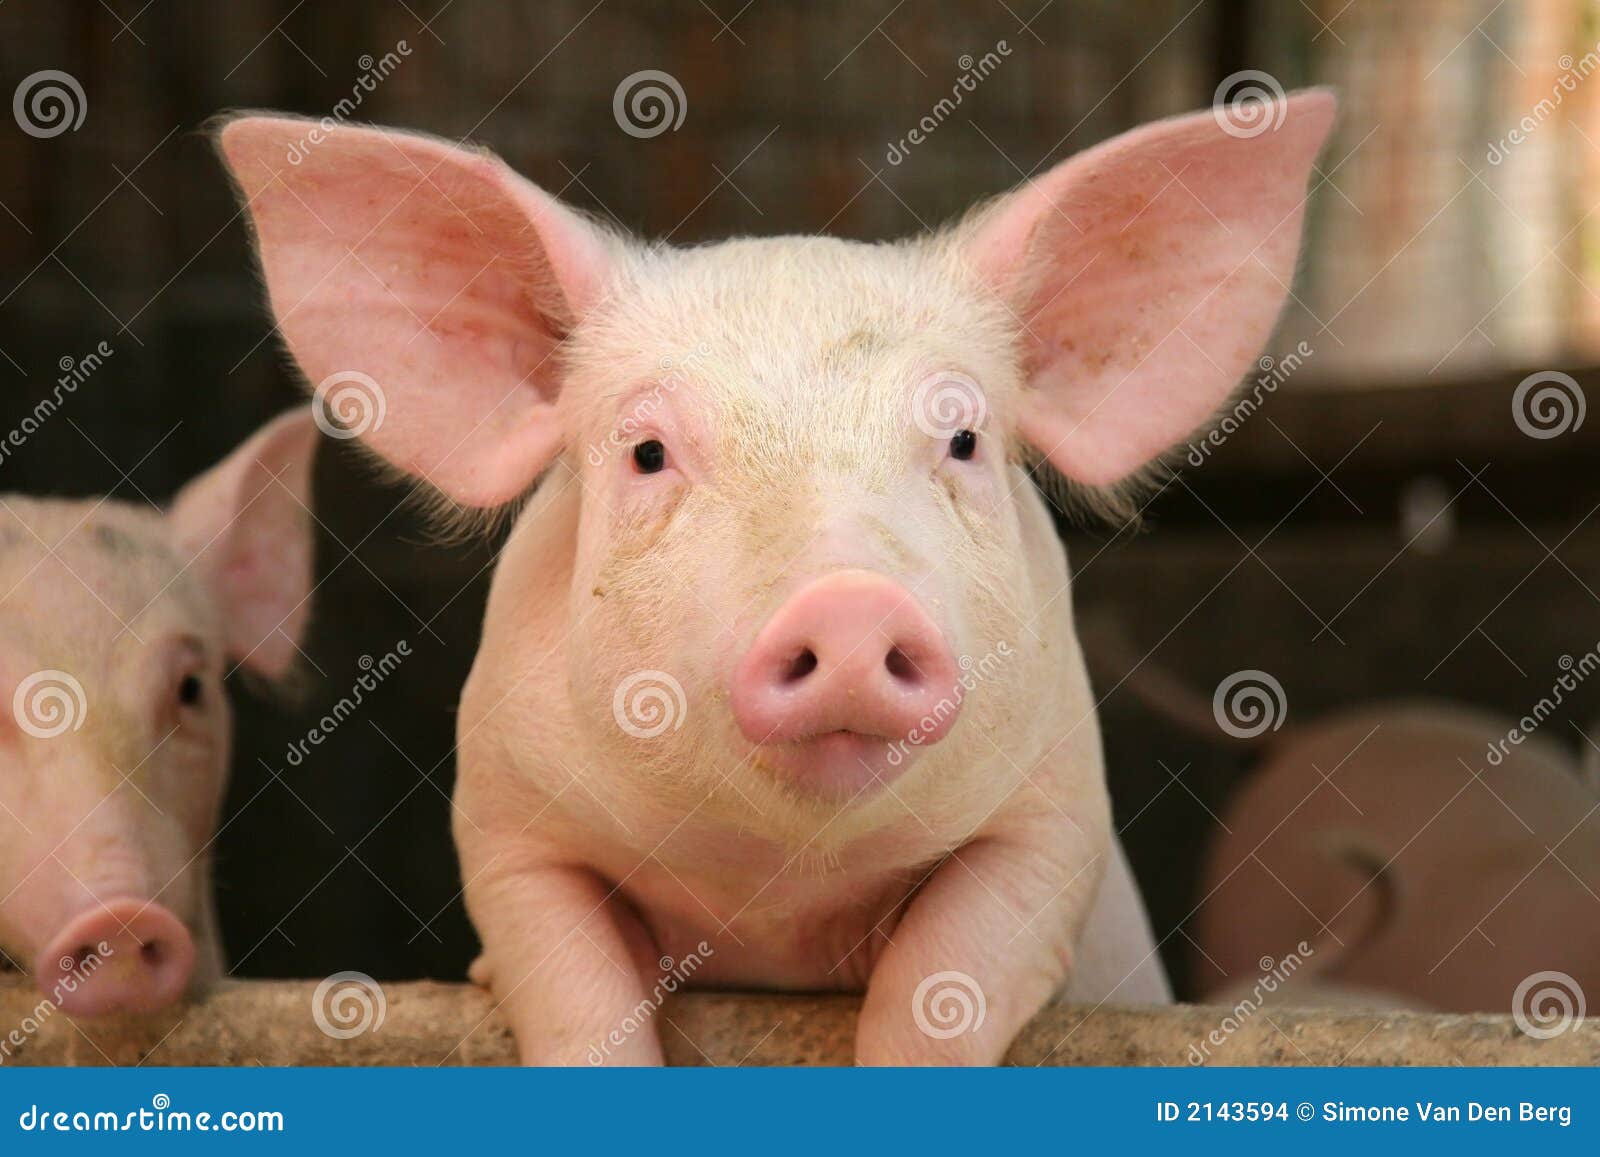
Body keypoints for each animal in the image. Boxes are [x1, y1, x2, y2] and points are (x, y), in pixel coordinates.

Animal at [216, 90, 1335, 1063]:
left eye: (964, 438)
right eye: (648, 453)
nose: (847, 601)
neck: (777, 891)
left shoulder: (1056, 818)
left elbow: (946, 980)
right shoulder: (504, 822)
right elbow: (576, 992)